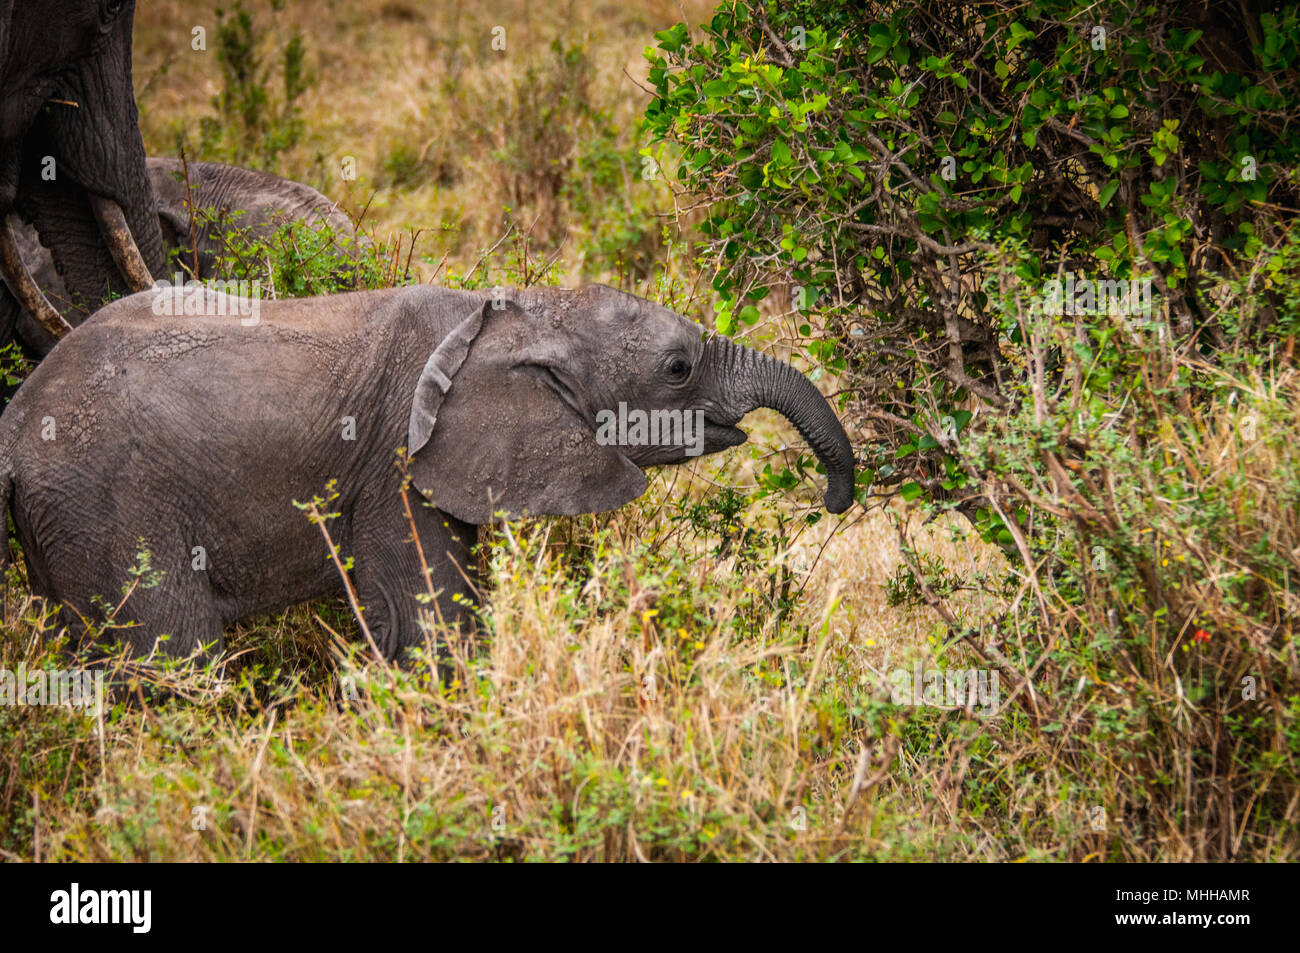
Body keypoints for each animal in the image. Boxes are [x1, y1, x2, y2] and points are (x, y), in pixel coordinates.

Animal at [0, 283, 856, 664]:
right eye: (677, 368)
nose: (836, 499)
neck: (514, 314)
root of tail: (14, 424)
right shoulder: (395, 466)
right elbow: (433, 623)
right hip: (114, 506)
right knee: (176, 657)